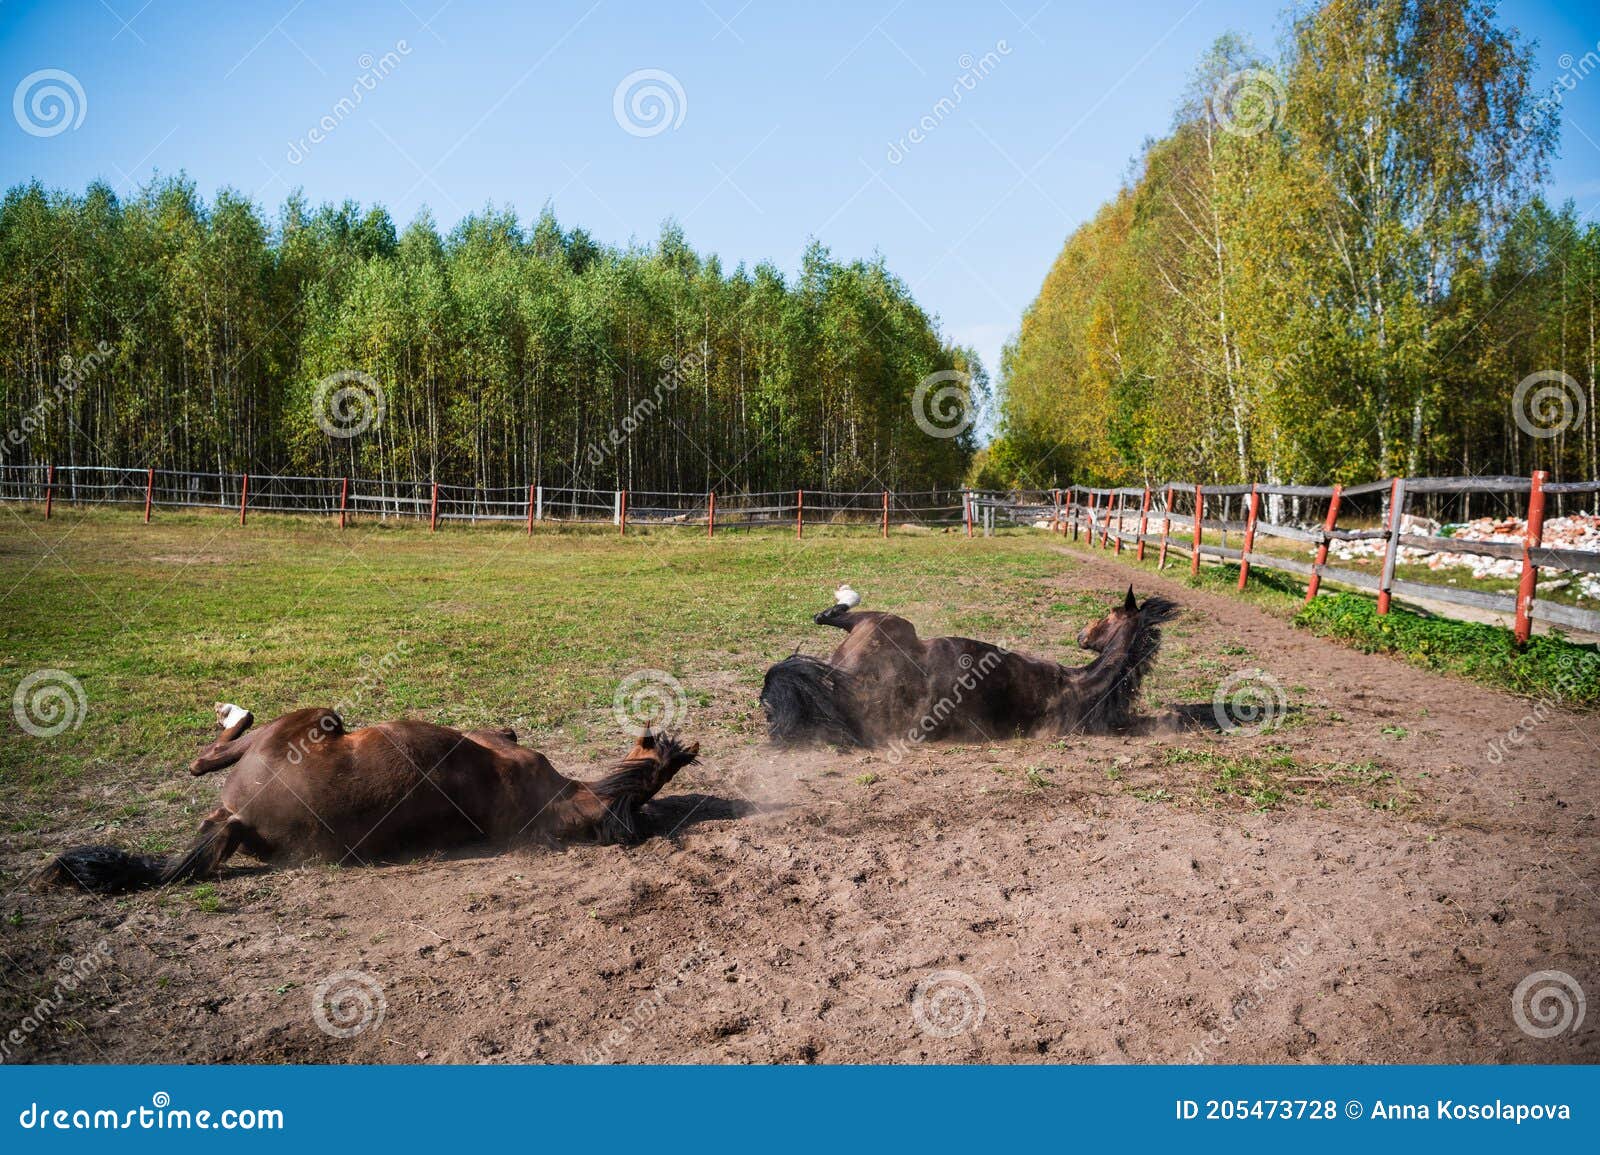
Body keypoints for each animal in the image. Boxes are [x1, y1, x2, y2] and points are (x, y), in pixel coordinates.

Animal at [760, 586, 1179, 748]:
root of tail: (852, 683)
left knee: (830, 615)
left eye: (1108, 613)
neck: (1074, 686)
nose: (1082, 634)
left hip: (888, 623)